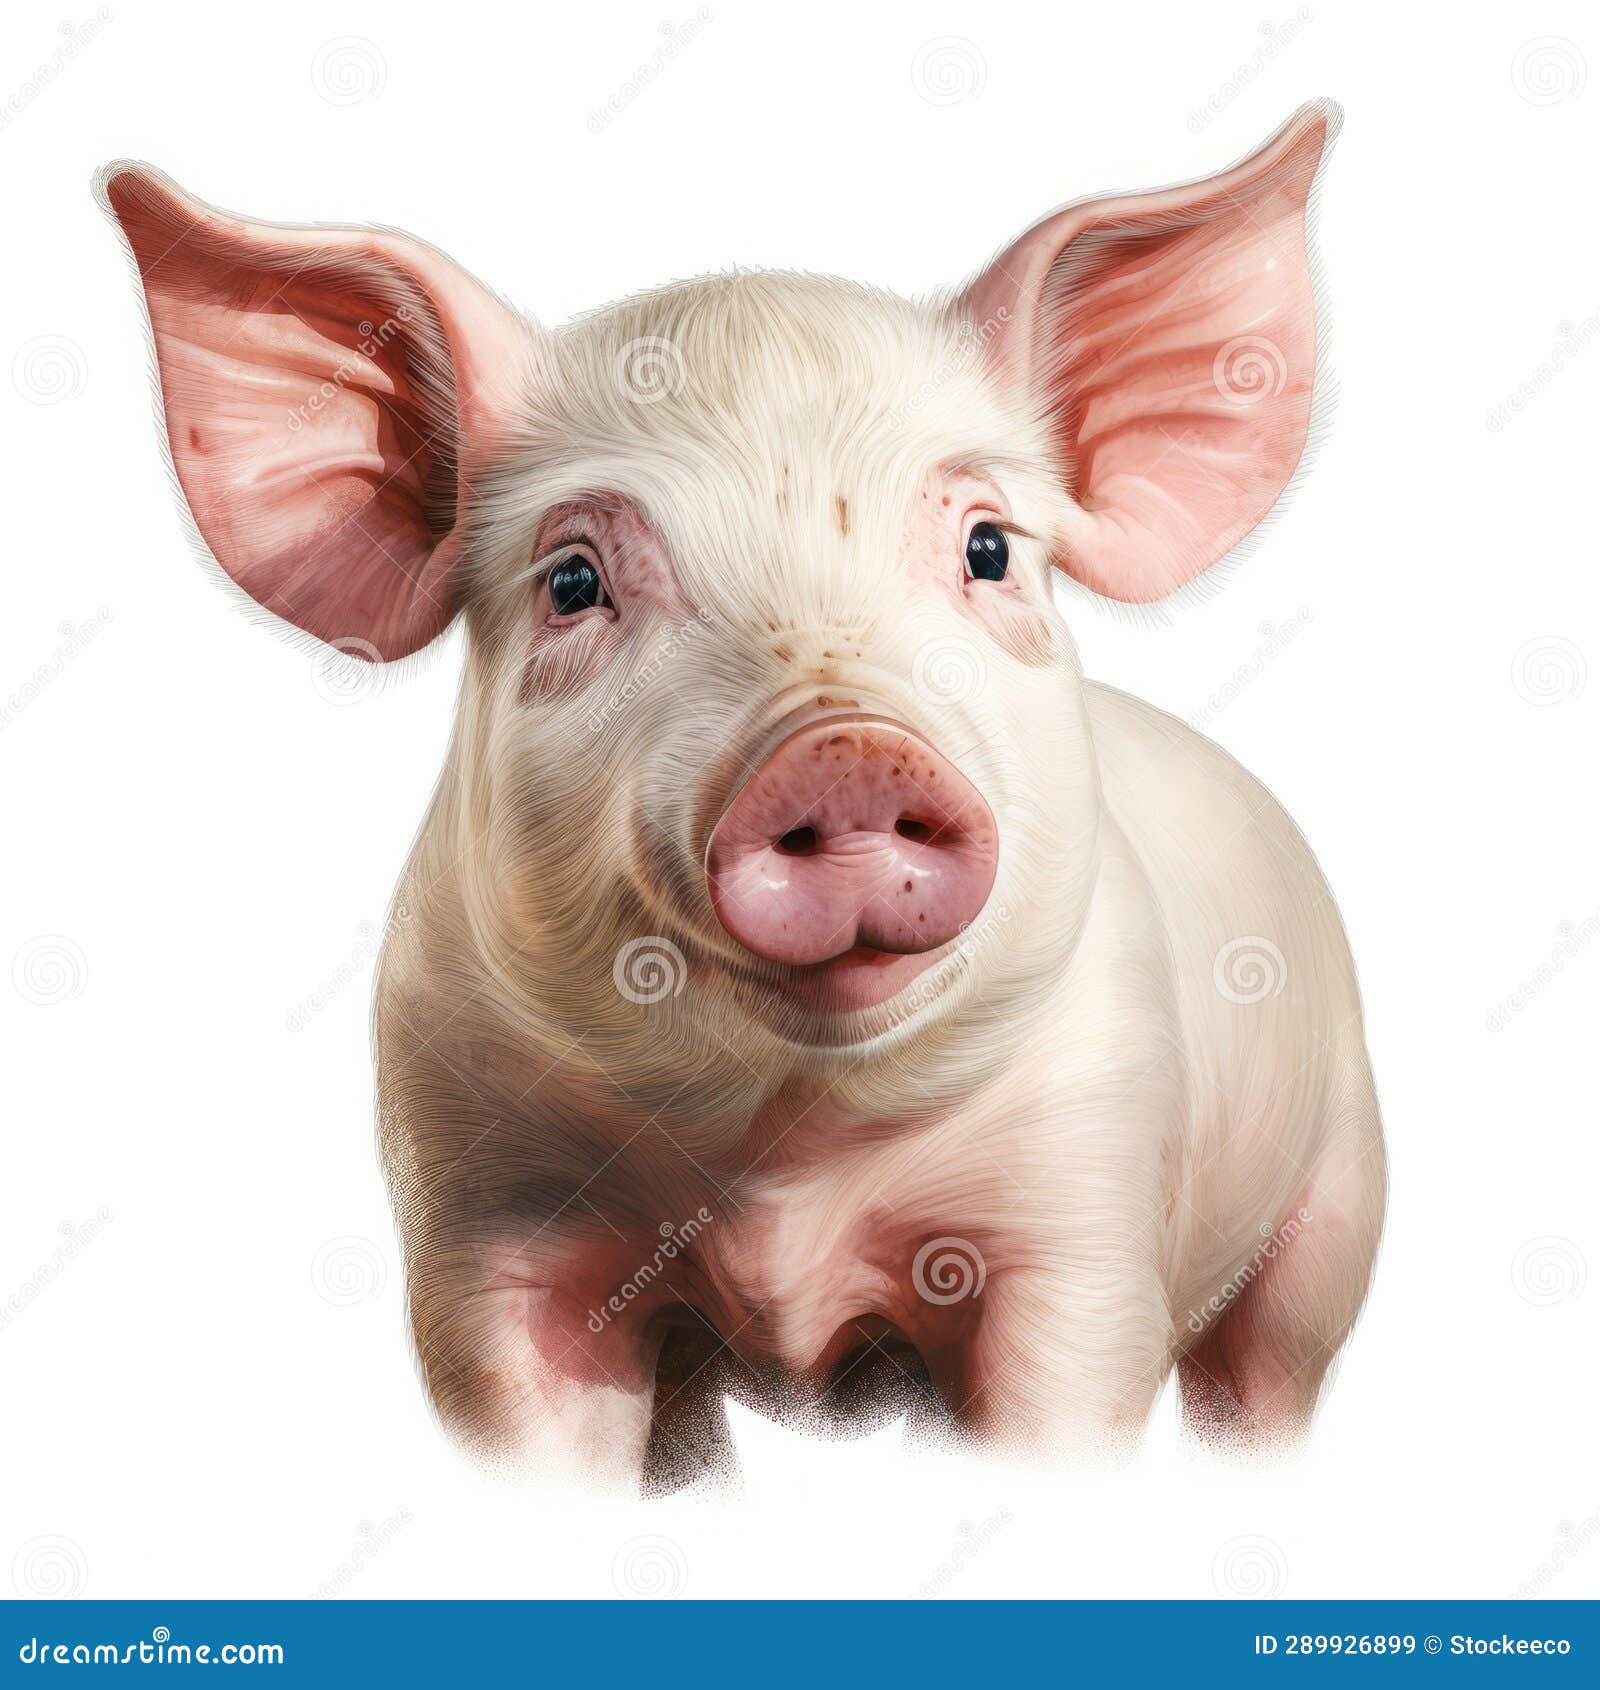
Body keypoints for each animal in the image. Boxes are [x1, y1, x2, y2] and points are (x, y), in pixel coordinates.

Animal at [101, 100, 1384, 1492]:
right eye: (572, 580)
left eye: (987, 549)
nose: (848, 749)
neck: (787, 1168)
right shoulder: (481, 1220)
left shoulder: (1085, 1203)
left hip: (1335, 1200)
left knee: (1270, 1372)